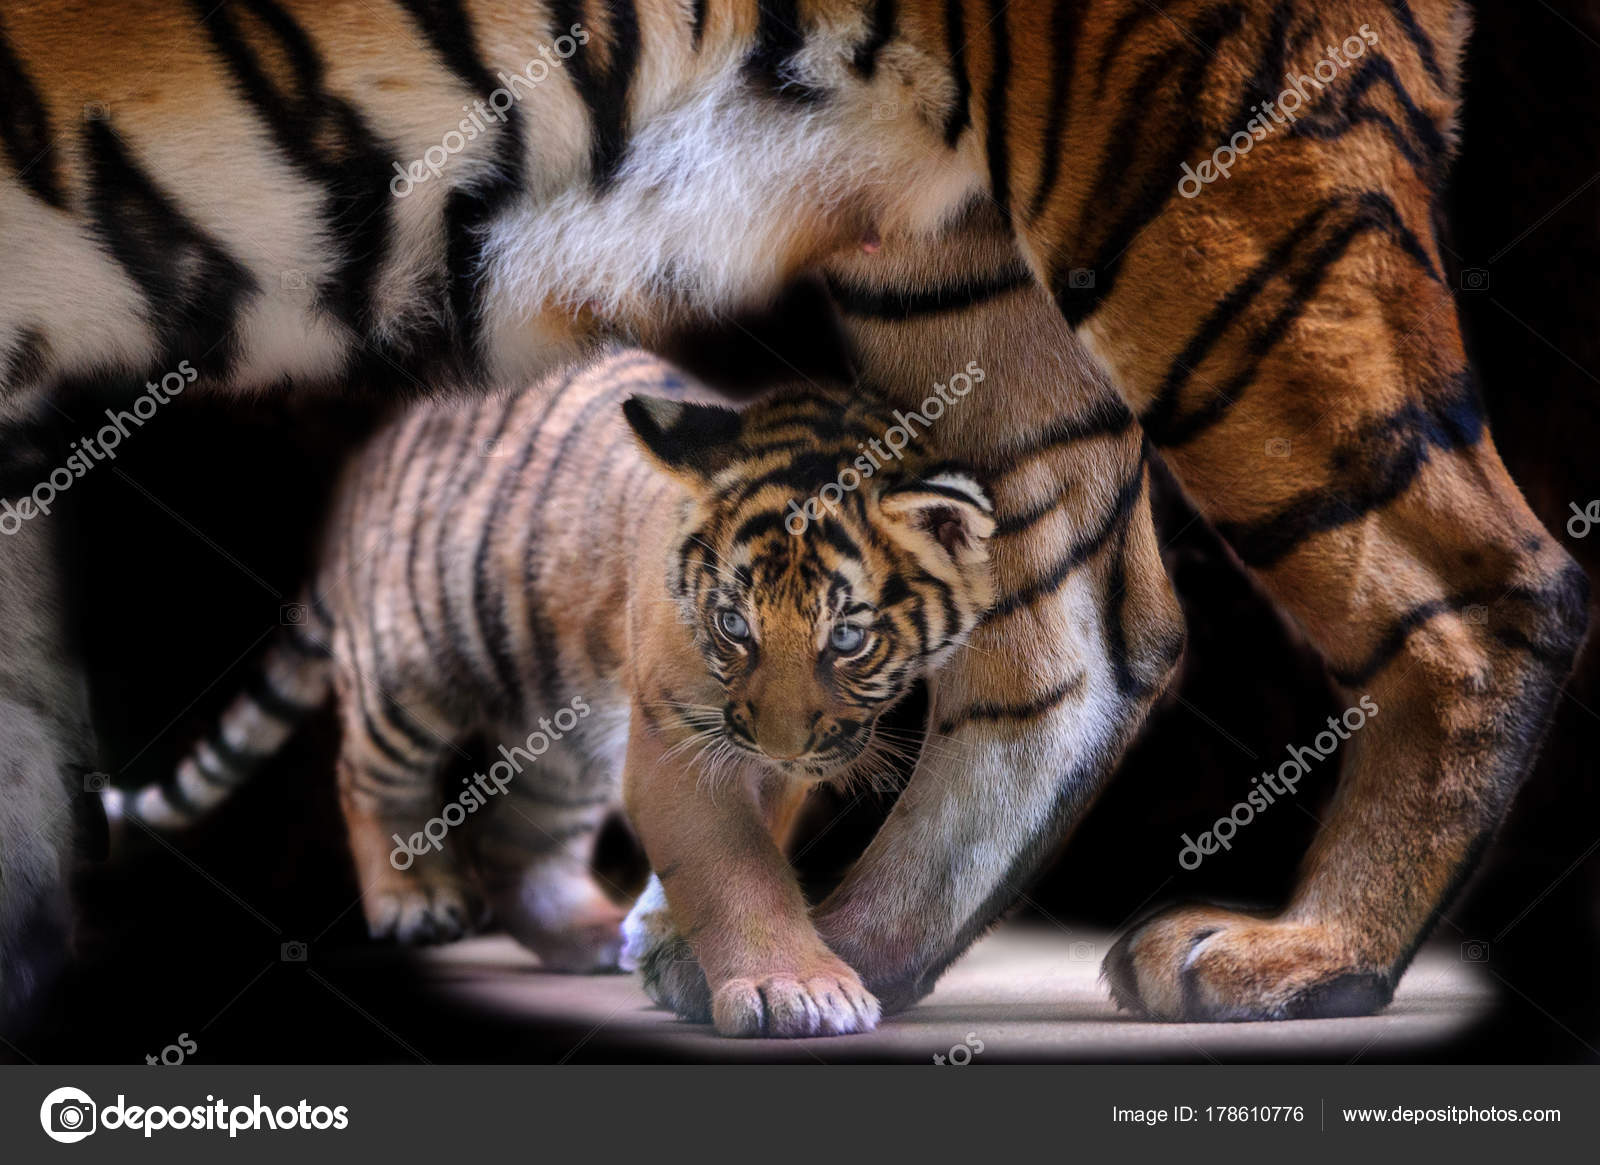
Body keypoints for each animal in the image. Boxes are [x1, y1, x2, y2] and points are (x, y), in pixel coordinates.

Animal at [104, 350, 1001, 1036]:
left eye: (846, 637)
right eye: (733, 624)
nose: (778, 743)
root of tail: (377, 461)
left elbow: (757, 839)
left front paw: (664, 930)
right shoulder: (686, 738)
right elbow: (737, 865)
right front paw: (800, 990)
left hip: (563, 729)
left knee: (516, 839)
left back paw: (593, 930)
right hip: (410, 671)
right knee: (366, 776)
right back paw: (414, 900)